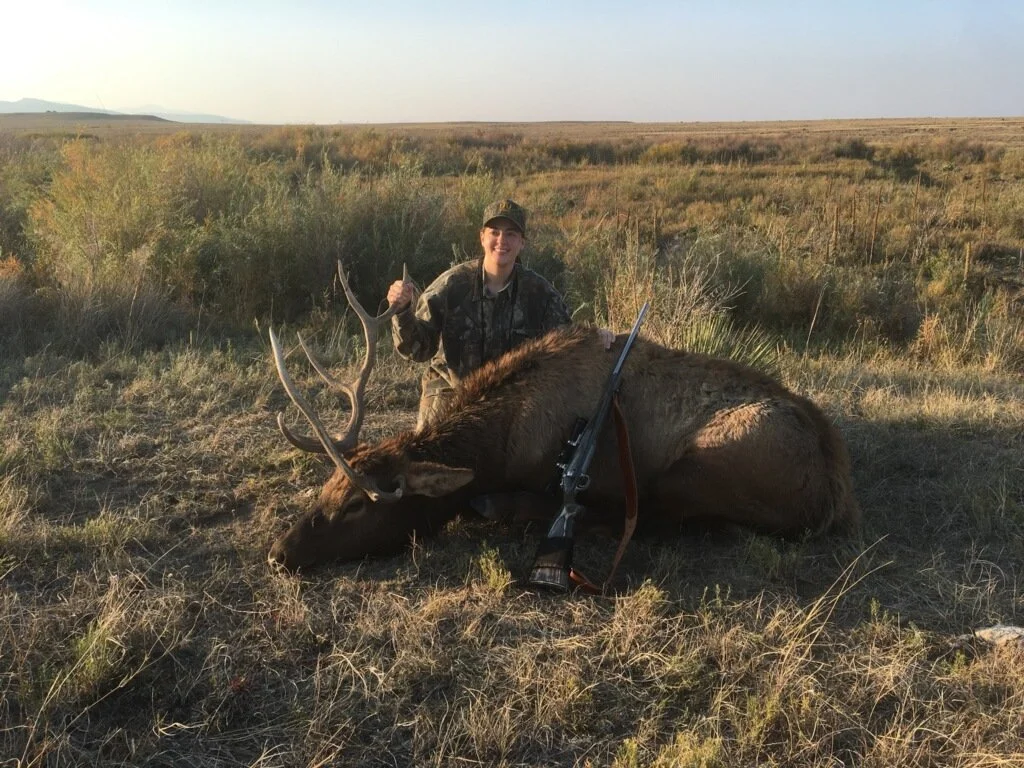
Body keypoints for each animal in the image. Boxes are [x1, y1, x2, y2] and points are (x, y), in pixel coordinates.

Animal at [267, 264, 859, 574]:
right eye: (324, 489)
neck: (500, 445)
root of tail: (834, 486)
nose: (279, 552)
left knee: (652, 517)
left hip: (700, 467)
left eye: (357, 506)